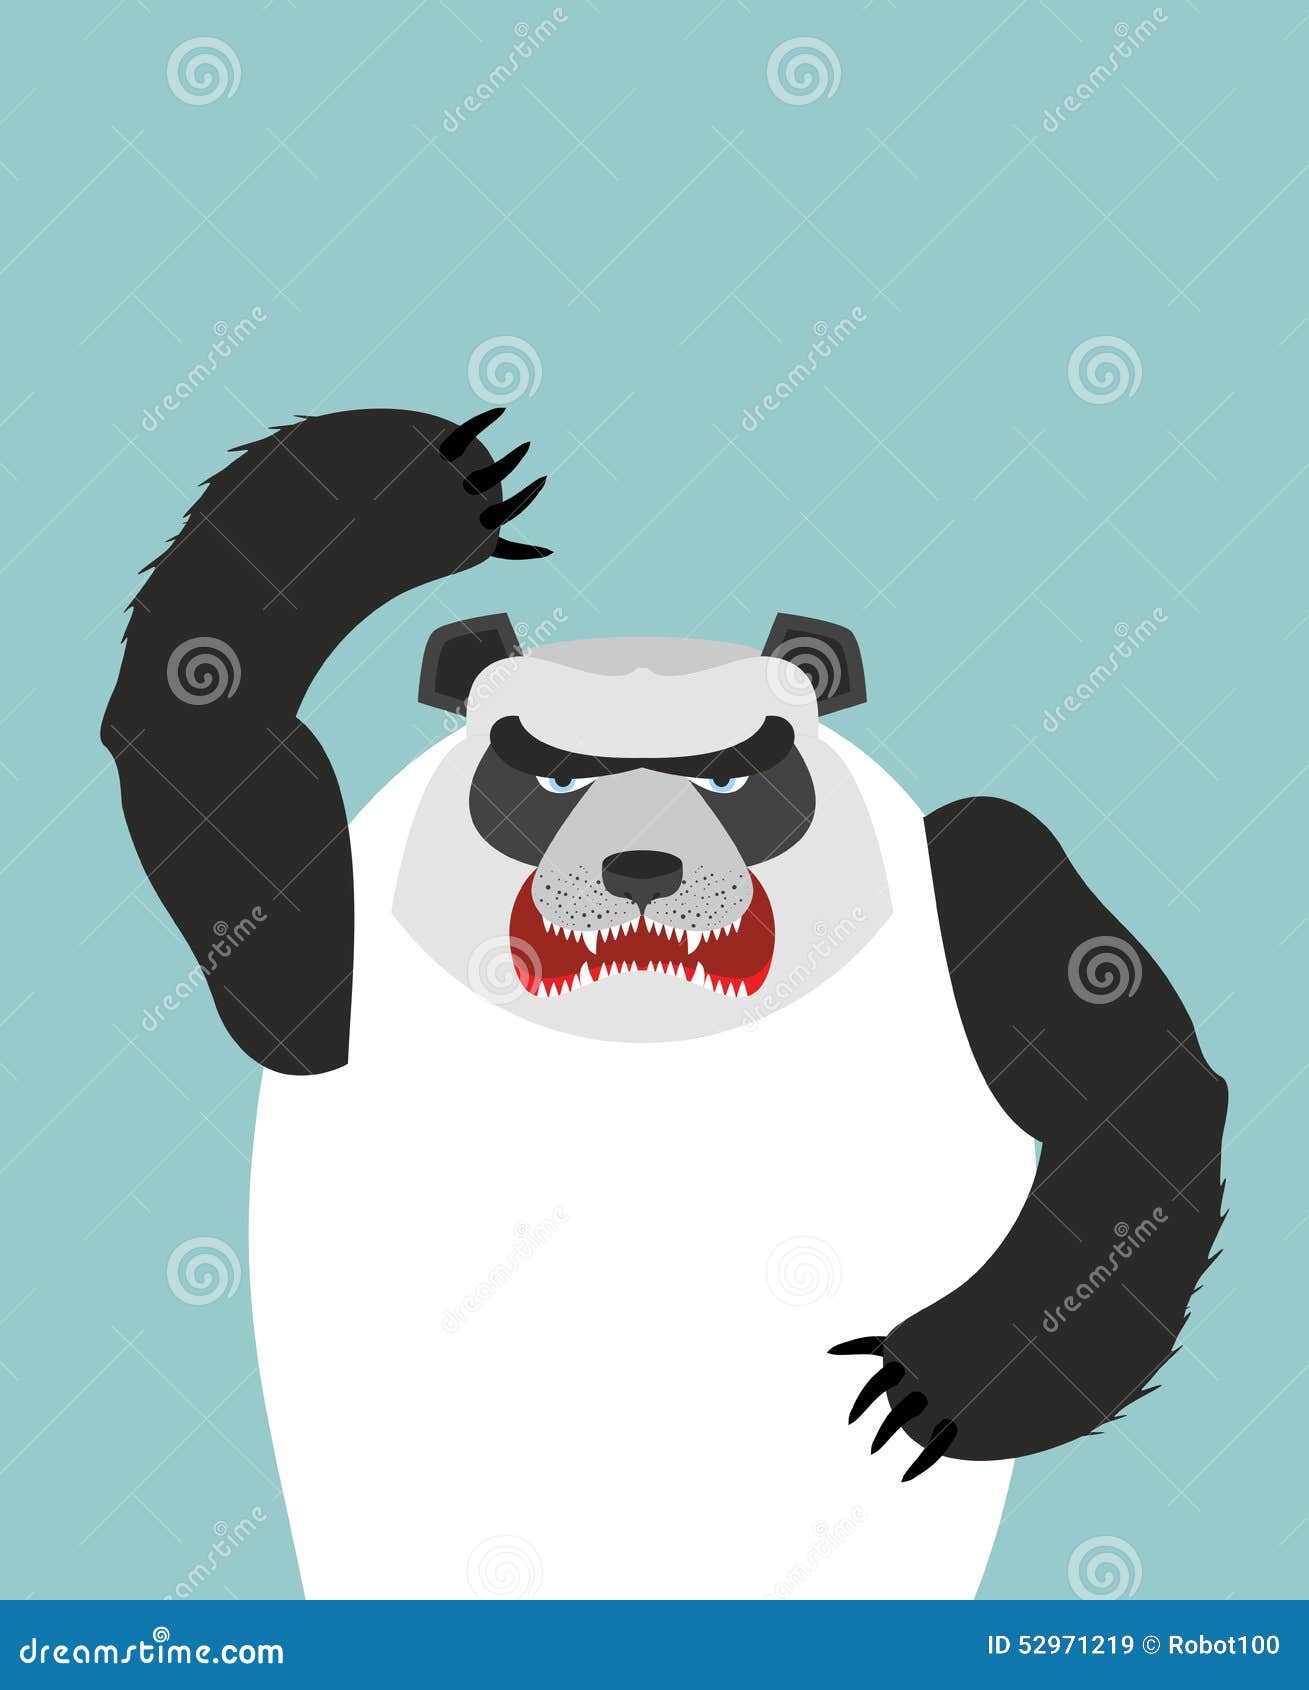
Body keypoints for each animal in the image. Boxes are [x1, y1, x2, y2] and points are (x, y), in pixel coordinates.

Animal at [103, 406, 1227, 1600]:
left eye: (731, 779)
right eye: (552, 779)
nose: (642, 868)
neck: (646, 1006)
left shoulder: (984, 880)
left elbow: (1130, 1108)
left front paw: (930, 1381)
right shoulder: (335, 950)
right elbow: (213, 729)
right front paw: (433, 486)